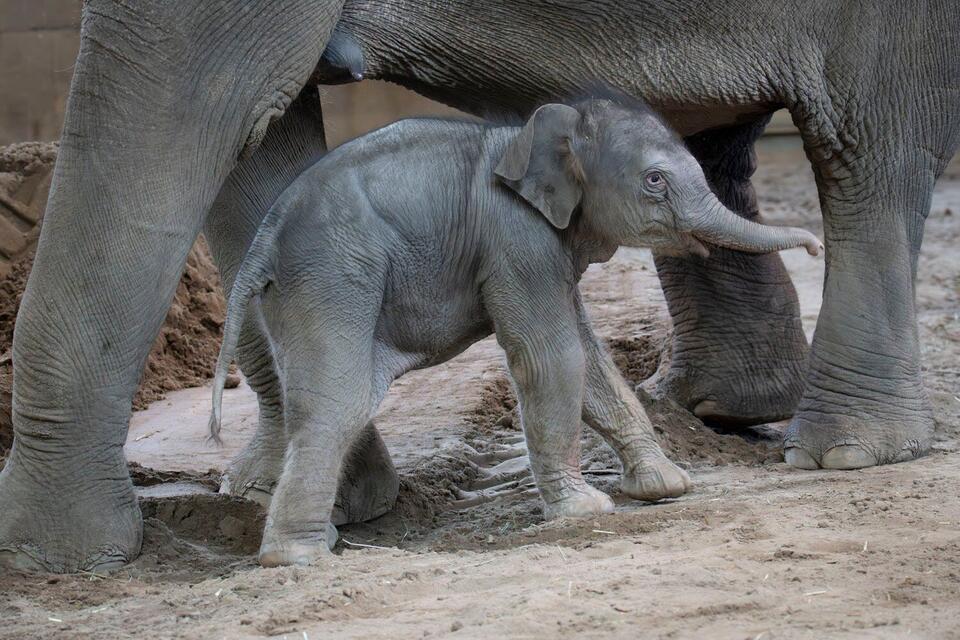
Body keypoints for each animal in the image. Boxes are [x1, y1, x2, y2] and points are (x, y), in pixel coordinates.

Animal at [207, 96, 820, 566]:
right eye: (654, 181)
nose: (815, 246)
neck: (536, 132)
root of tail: (267, 236)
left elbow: (592, 359)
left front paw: (667, 486)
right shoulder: (516, 237)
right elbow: (553, 356)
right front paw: (586, 510)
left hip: (295, 294)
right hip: (334, 275)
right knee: (338, 401)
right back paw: (298, 557)